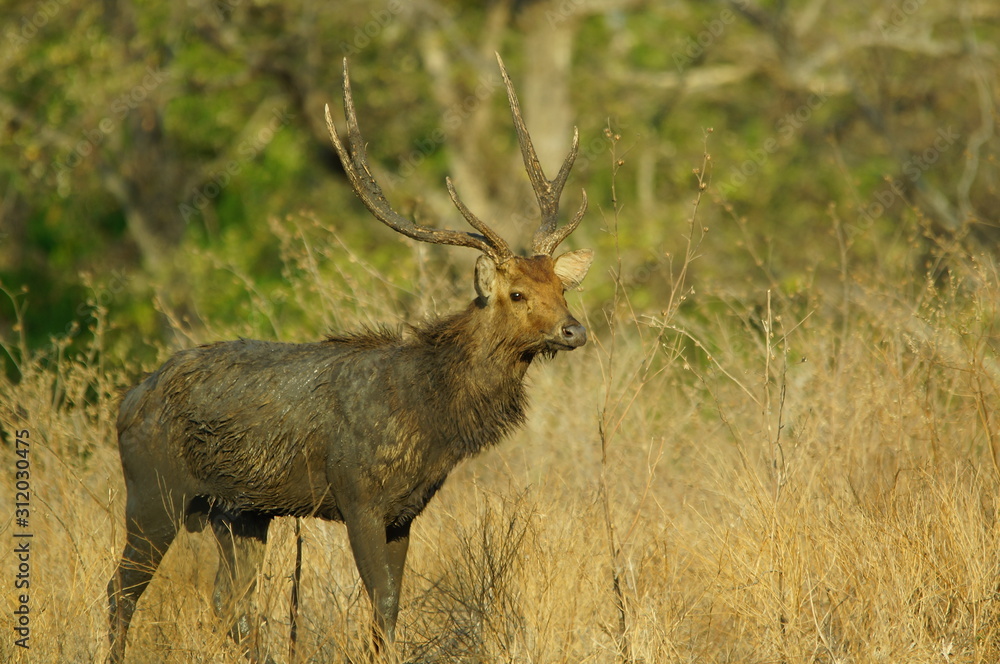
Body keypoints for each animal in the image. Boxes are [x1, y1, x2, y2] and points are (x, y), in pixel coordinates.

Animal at [107, 54, 593, 663]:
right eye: (518, 293)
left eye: (561, 286)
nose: (574, 329)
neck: (432, 417)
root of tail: (128, 399)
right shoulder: (355, 494)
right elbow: (380, 601)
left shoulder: (405, 512)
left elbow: (392, 606)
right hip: (153, 489)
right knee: (123, 589)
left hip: (238, 512)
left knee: (228, 601)